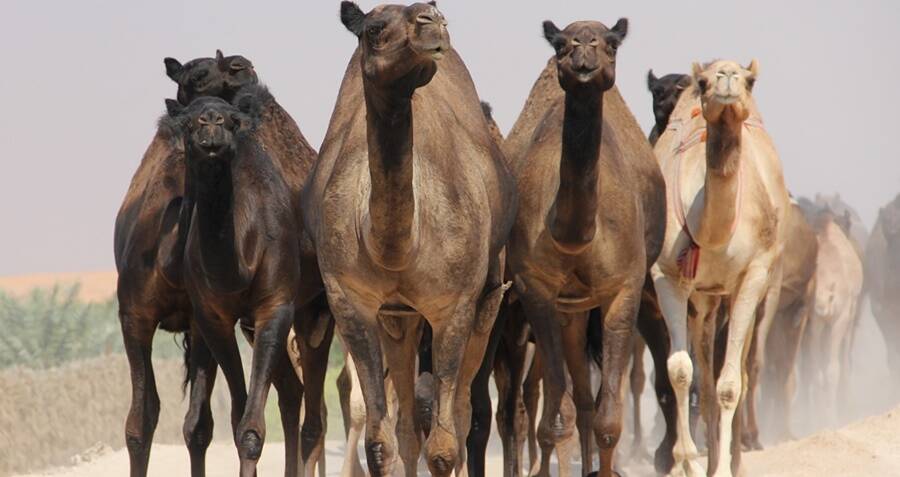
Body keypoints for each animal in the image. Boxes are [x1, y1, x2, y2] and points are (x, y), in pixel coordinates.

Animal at [114, 53, 257, 477]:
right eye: (196, 76)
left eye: (233, 117)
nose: (243, 67)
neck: (168, 258)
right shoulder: (132, 316)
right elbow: (140, 422)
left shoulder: (202, 319)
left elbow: (198, 425)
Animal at [302, 3, 515, 475]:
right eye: (374, 28)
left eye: (433, 13)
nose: (431, 21)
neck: (399, 248)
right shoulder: (352, 301)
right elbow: (381, 443)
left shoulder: (455, 305)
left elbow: (444, 445)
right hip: (399, 319)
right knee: (405, 423)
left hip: (487, 299)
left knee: (461, 412)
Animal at [504, 18, 671, 477]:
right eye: (561, 44)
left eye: (611, 43)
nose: (583, 48)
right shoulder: (536, 290)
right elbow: (556, 416)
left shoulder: (624, 286)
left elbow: (608, 418)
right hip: (572, 310)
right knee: (576, 399)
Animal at [650, 60, 790, 477]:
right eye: (701, 82)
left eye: (750, 80)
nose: (726, 76)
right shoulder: (668, 275)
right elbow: (680, 370)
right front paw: (686, 461)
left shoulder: (753, 276)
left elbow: (730, 385)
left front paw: (724, 468)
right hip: (704, 299)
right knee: (705, 375)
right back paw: (708, 457)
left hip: (751, 292)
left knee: (738, 371)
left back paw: (732, 459)